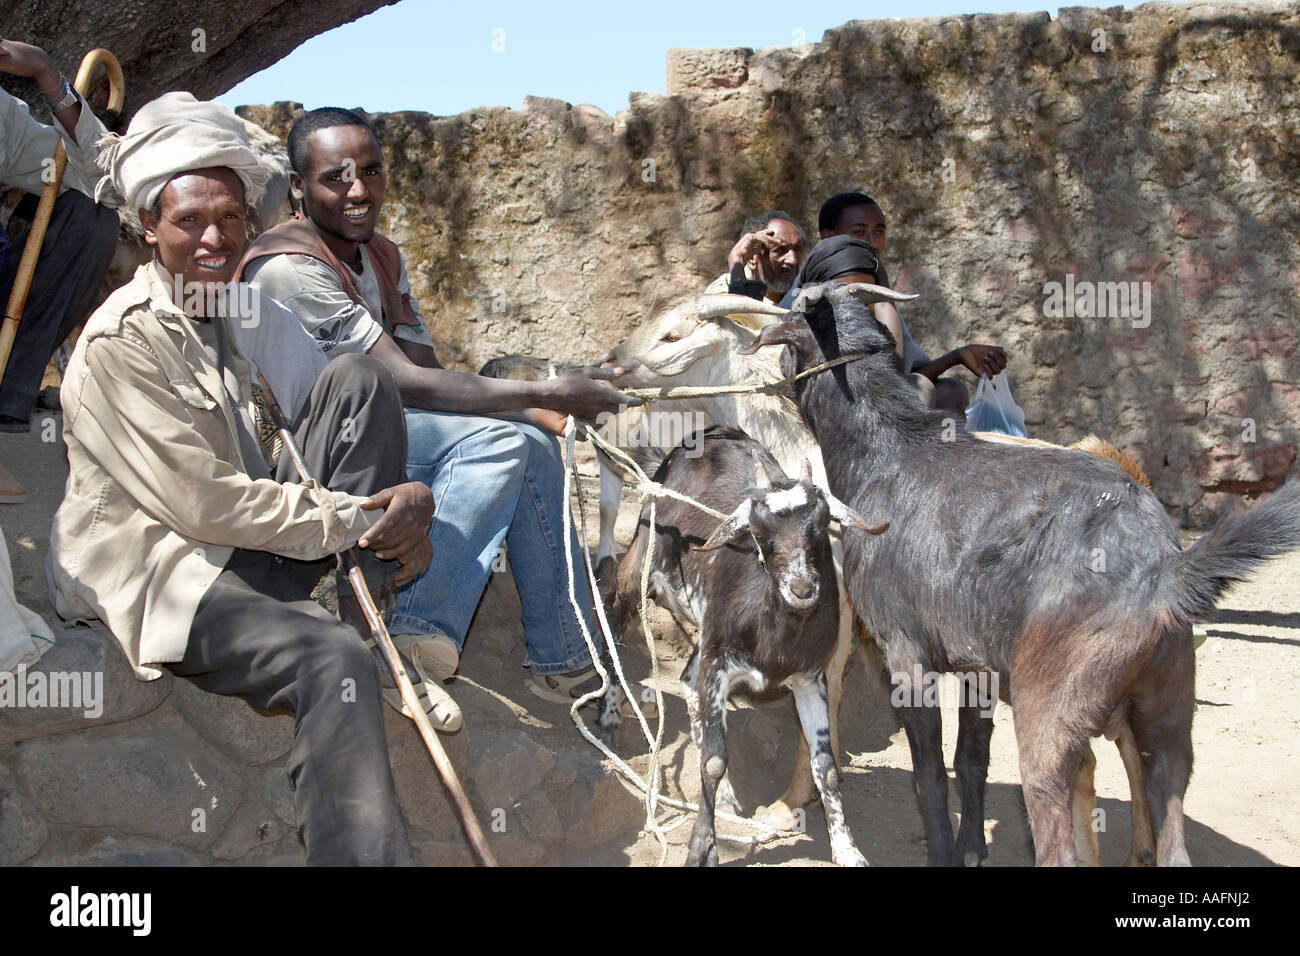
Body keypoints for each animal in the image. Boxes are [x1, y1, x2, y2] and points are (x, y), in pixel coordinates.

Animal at [610, 426, 885, 866]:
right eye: (759, 531)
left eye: (821, 525)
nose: (801, 588)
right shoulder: (718, 663)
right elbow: (714, 760)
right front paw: (701, 849)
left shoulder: (810, 679)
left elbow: (825, 767)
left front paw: (848, 852)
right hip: (643, 554)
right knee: (615, 603)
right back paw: (610, 712)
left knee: (687, 682)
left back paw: (723, 798)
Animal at [744, 281, 1300, 865]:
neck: (890, 451)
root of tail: (1164, 569)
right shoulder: (977, 664)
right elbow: (970, 758)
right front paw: (971, 850)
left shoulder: (905, 653)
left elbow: (929, 775)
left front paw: (945, 853)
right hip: (1168, 712)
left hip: (1050, 711)